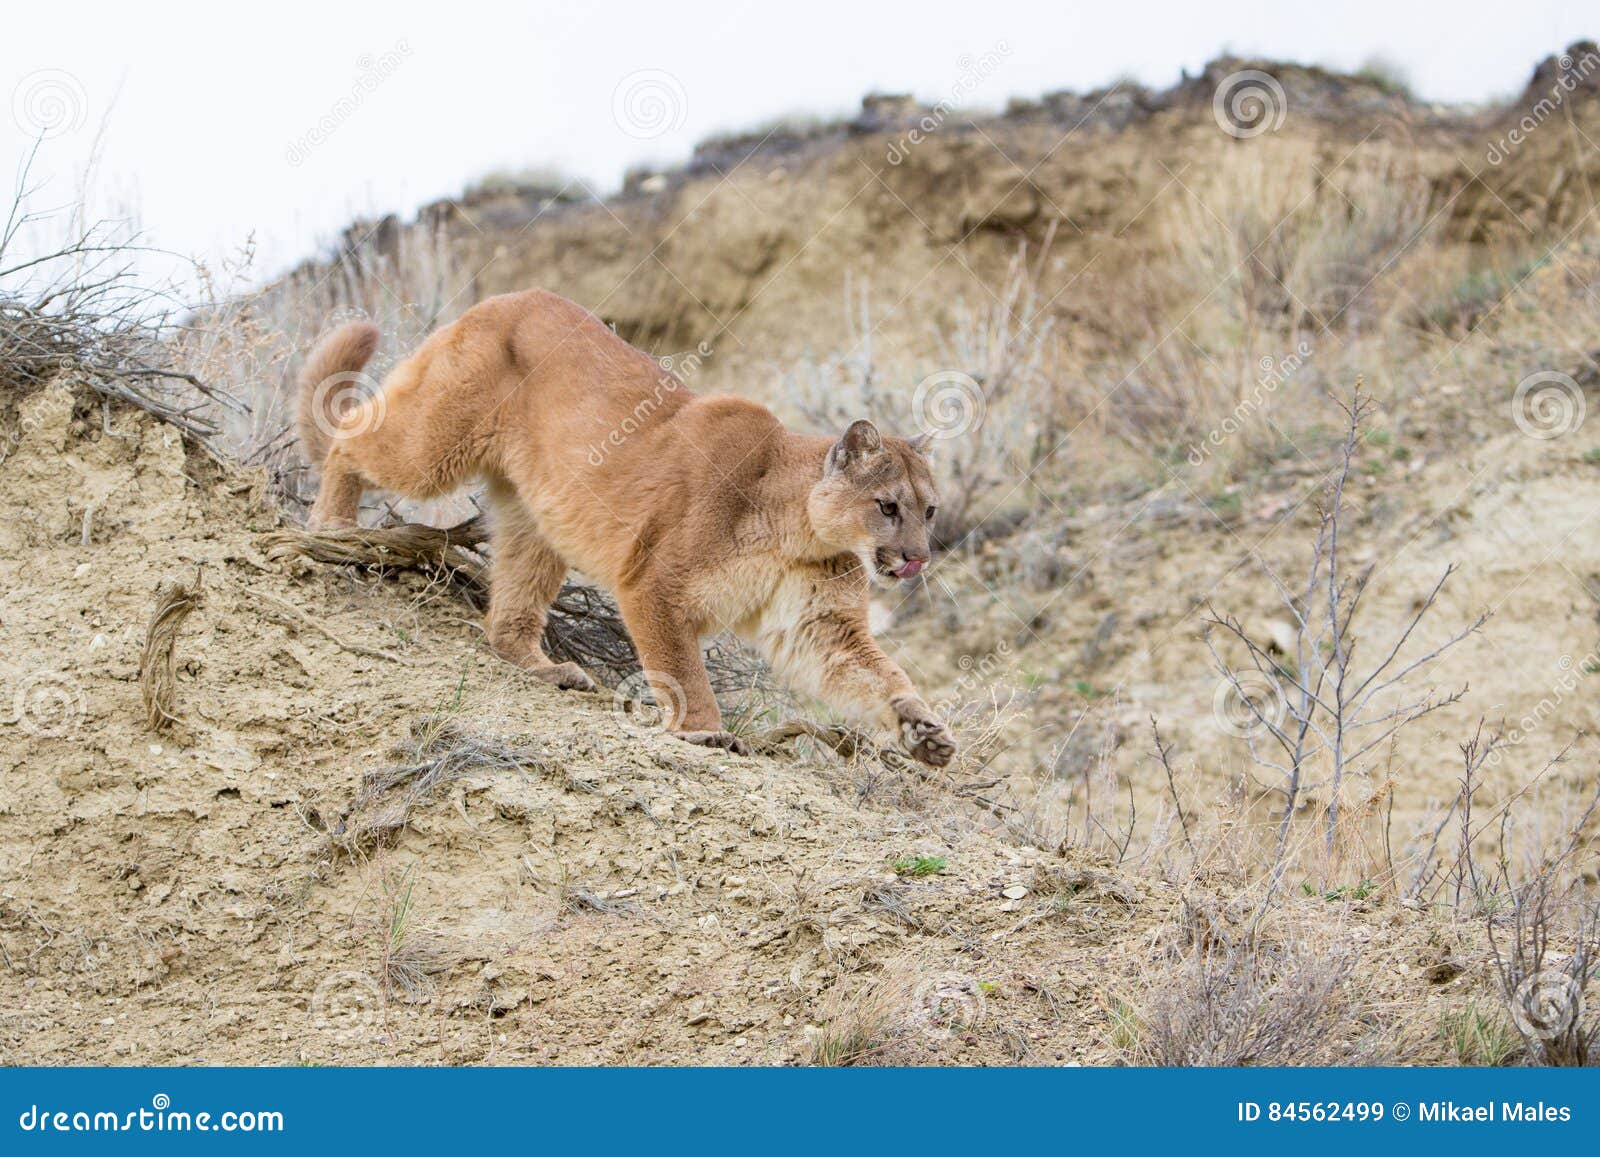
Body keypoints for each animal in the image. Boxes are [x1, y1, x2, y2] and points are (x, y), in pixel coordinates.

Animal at [296, 288, 956, 766]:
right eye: (888, 507)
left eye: (929, 510)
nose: (918, 558)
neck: (798, 529)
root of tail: (505, 296)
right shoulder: (654, 584)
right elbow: (683, 672)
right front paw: (704, 733)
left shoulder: (818, 625)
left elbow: (872, 671)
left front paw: (921, 728)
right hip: (433, 449)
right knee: (350, 437)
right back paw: (332, 524)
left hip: (536, 520)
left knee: (509, 609)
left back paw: (547, 667)